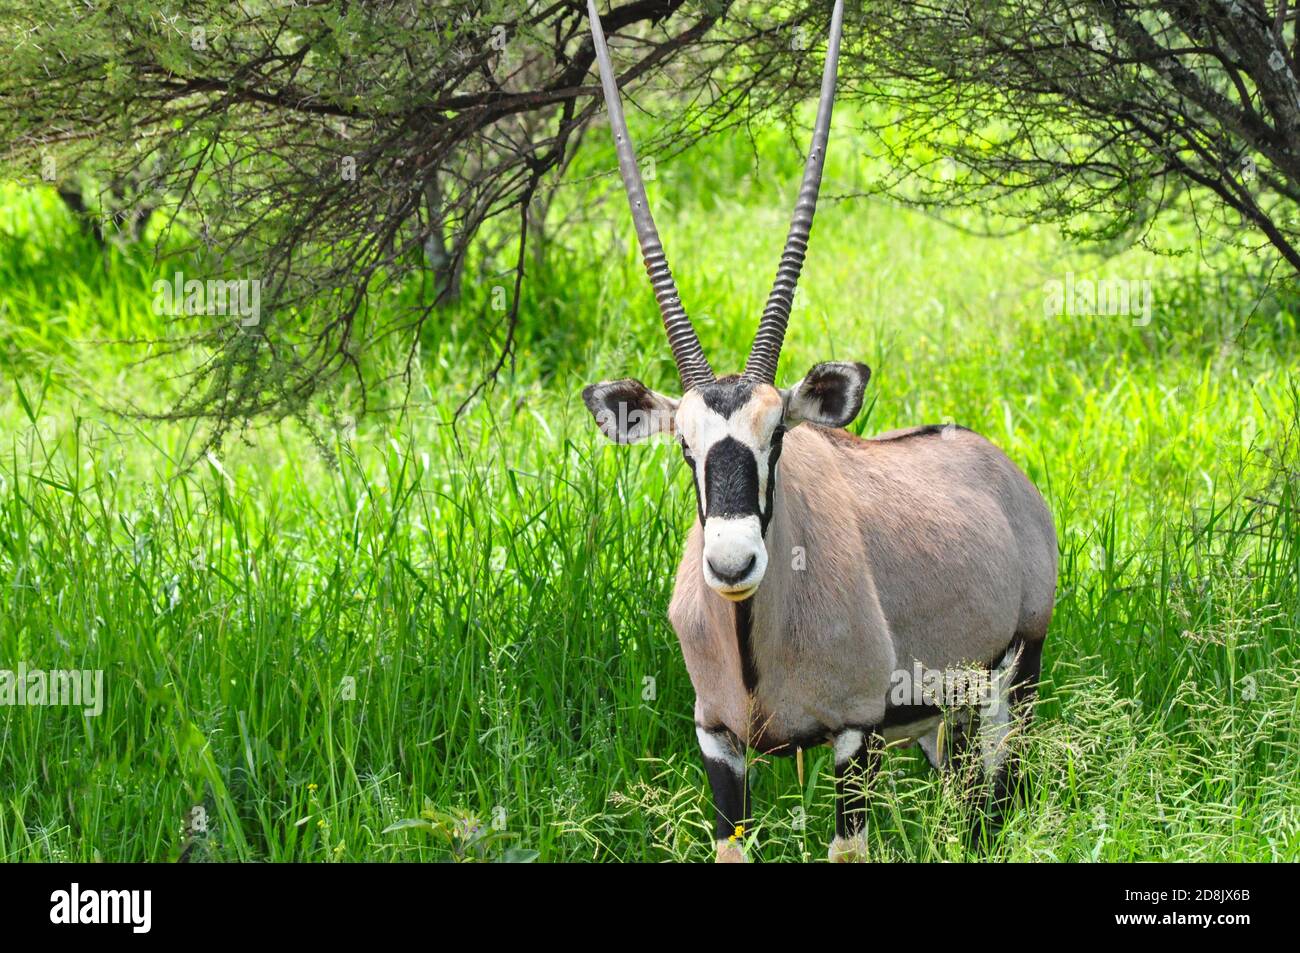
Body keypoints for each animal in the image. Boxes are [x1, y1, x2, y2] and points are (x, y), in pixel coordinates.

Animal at [581, 0, 1057, 862]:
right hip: (942, 720)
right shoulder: (718, 743)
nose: (733, 562)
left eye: (778, 437)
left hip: (1015, 677)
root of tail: (1002, 470)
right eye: (684, 447)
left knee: (994, 804)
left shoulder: (853, 735)